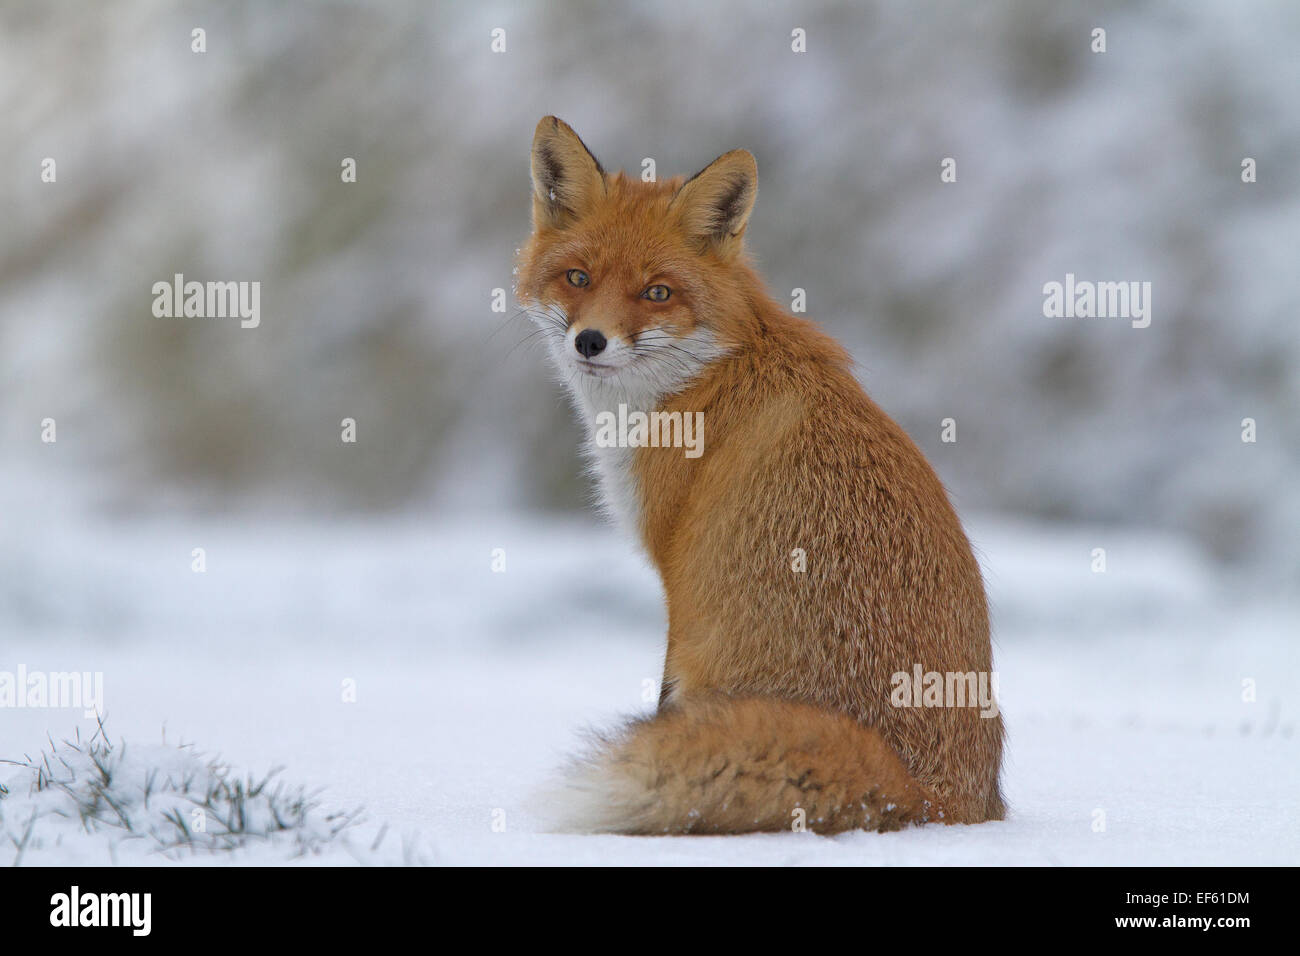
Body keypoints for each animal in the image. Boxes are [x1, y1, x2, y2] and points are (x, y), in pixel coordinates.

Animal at [516, 116, 1004, 834]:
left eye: (657, 292)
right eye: (577, 277)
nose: (591, 342)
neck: (705, 376)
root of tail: (927, 798)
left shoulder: (680, 584)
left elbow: (662, 698)